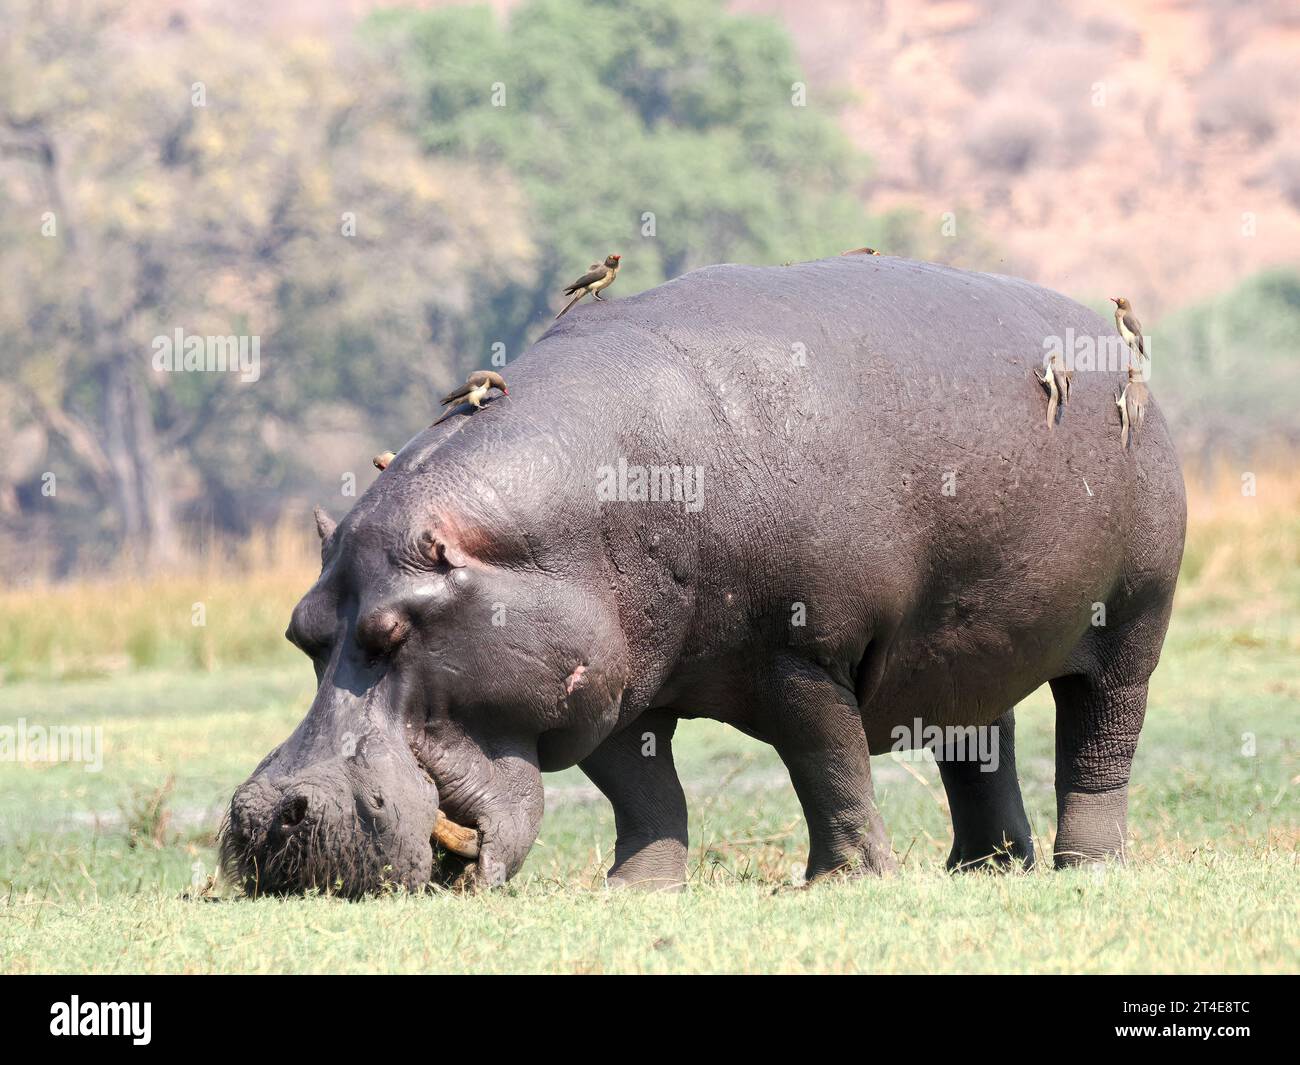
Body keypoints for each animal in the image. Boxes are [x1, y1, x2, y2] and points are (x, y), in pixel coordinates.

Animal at [220, 256, 1186, 895]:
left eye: (392, 632)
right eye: (302, 633)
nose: (264, 815)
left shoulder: (803, 653)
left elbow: (826, 765)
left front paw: (845, 882)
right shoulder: (612, 690)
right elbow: (643, 792)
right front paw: (635, 890)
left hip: (1134, 625)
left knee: (1101, 740)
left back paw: (1085, 865)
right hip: (968, 646)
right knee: (980, 745)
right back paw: (983, 868)